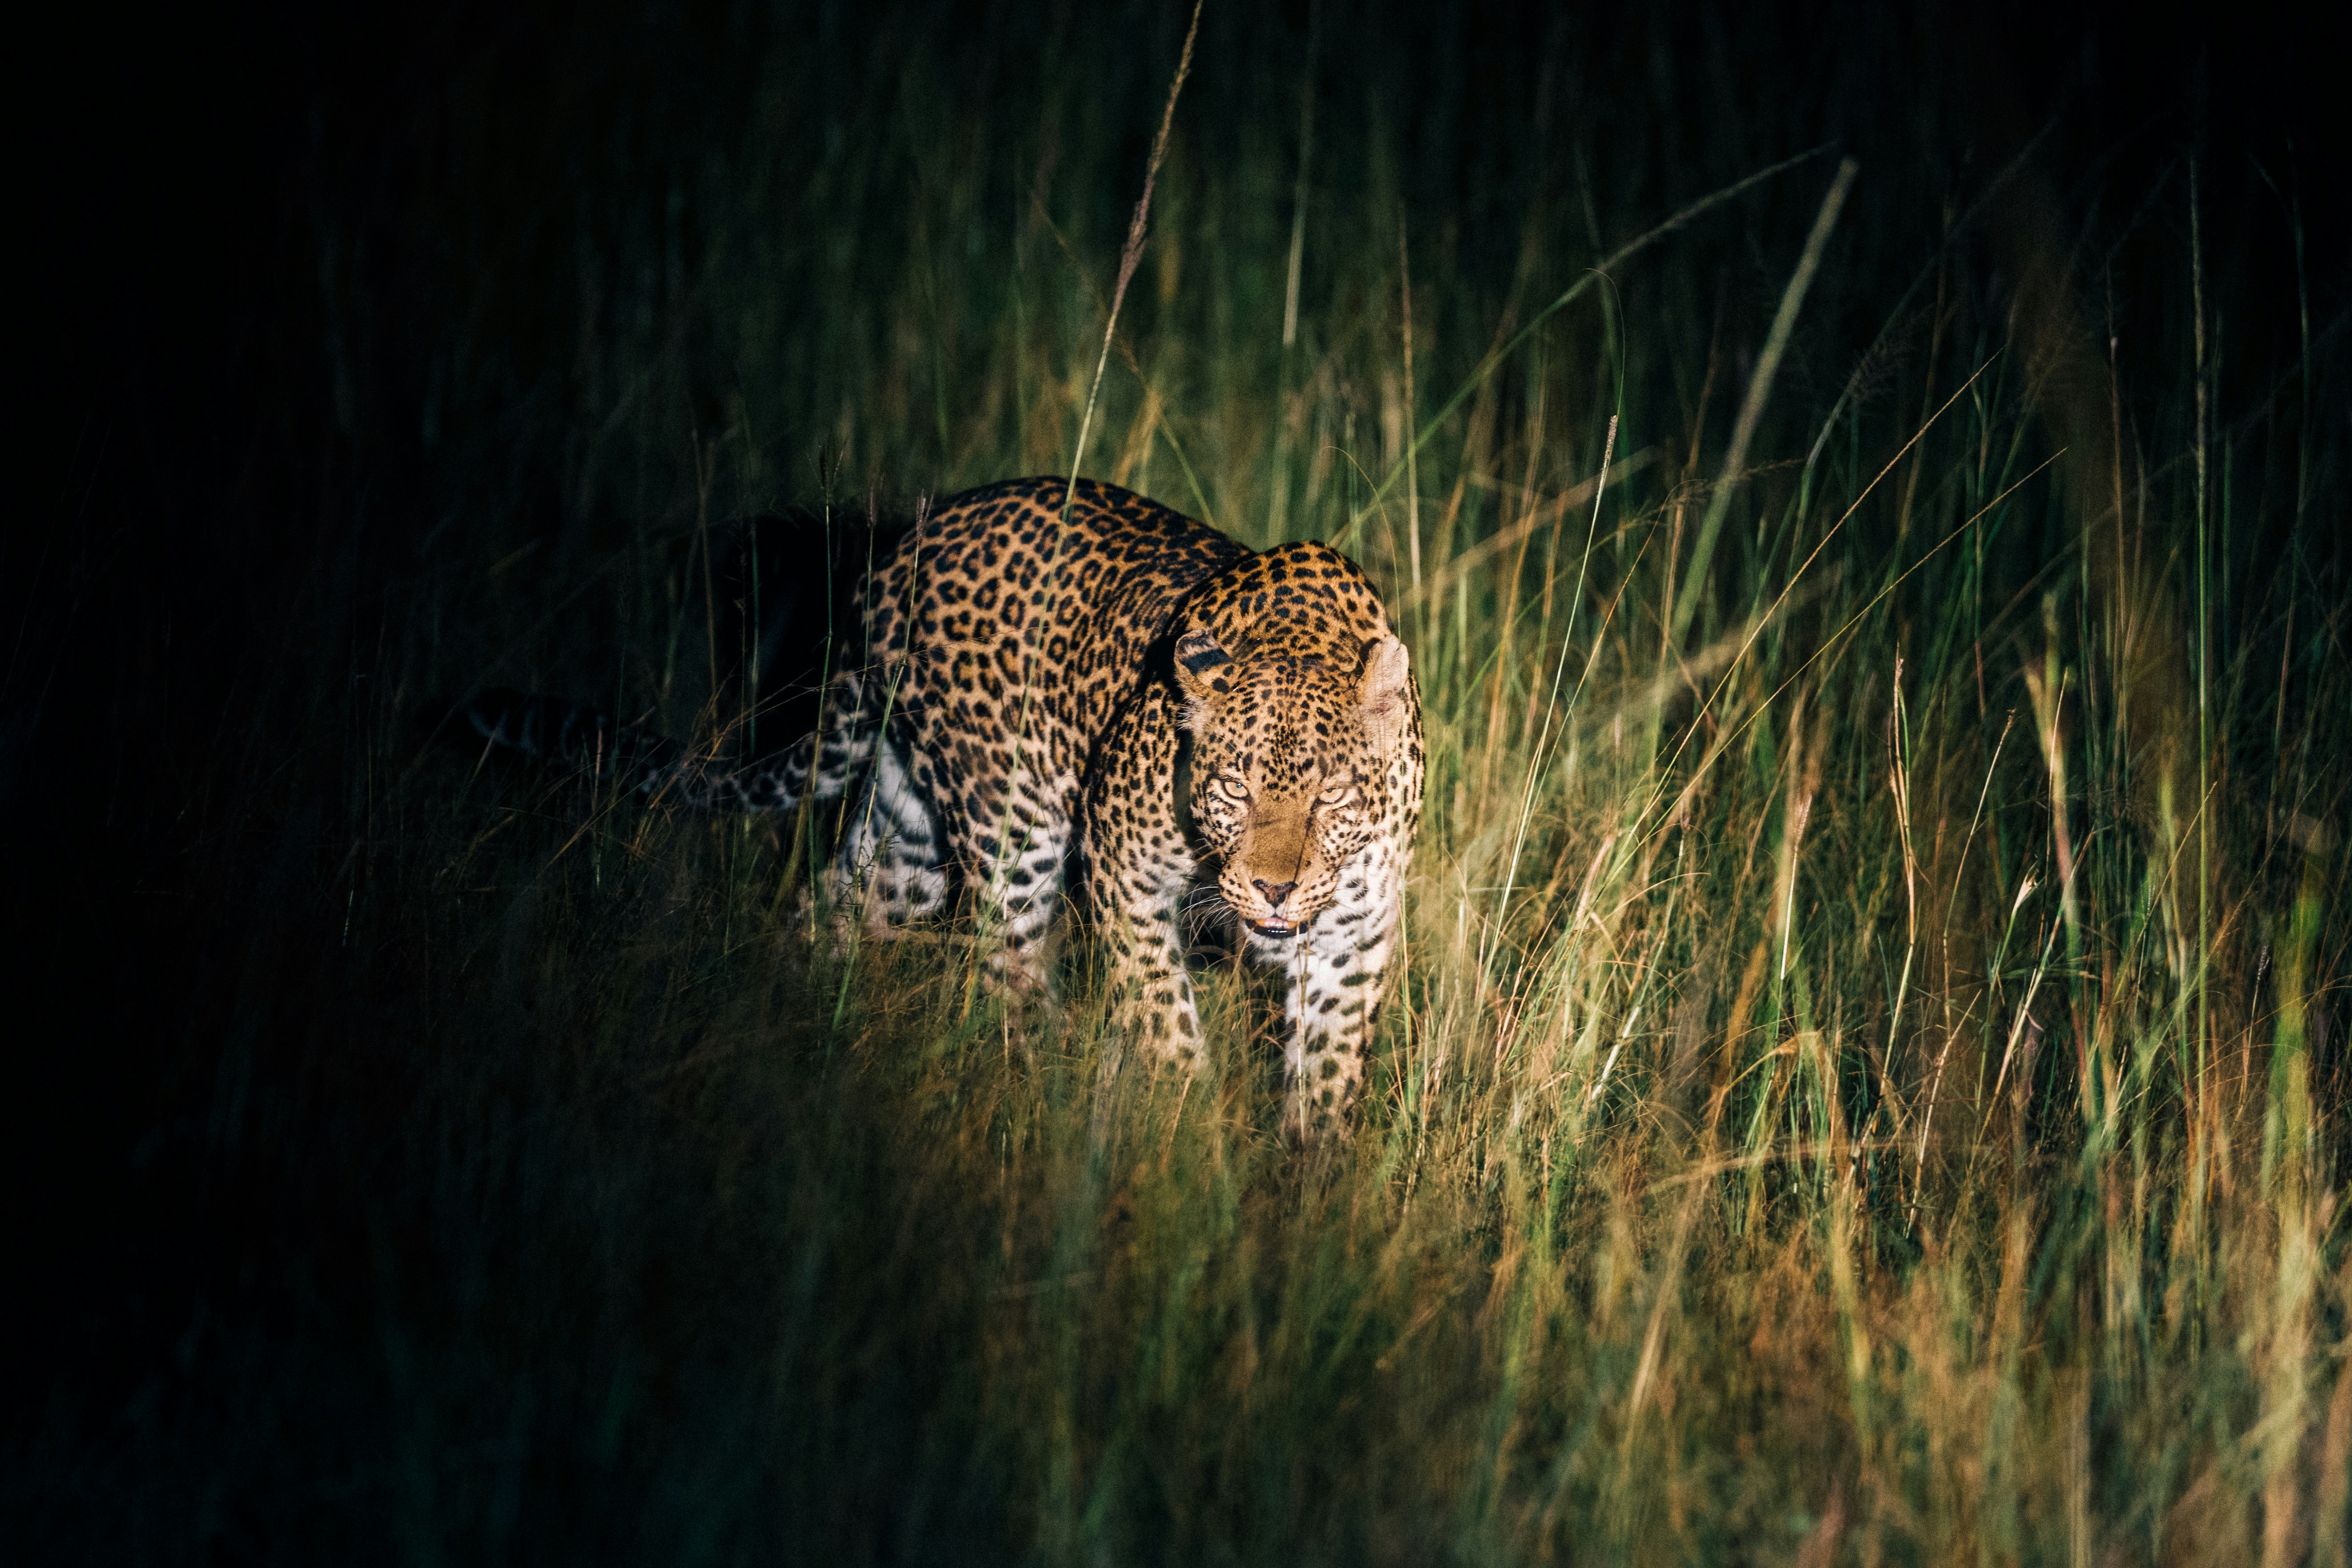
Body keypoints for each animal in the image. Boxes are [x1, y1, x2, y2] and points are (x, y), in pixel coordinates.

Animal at [467, 476, 1424, 1139]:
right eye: (1231, 789)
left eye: (1330, 797)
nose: (1270, 890)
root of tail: (892, 560)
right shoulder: (1122, 867)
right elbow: (1162, 1016)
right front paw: (1189, 1137)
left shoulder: (1355, 931)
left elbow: (1330, 1074)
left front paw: (1305, 1199)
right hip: (1013, 832)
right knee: (1006, 973)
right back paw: (1036, 1099)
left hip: (908, 835)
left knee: (827, 909)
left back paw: (787, 1045)